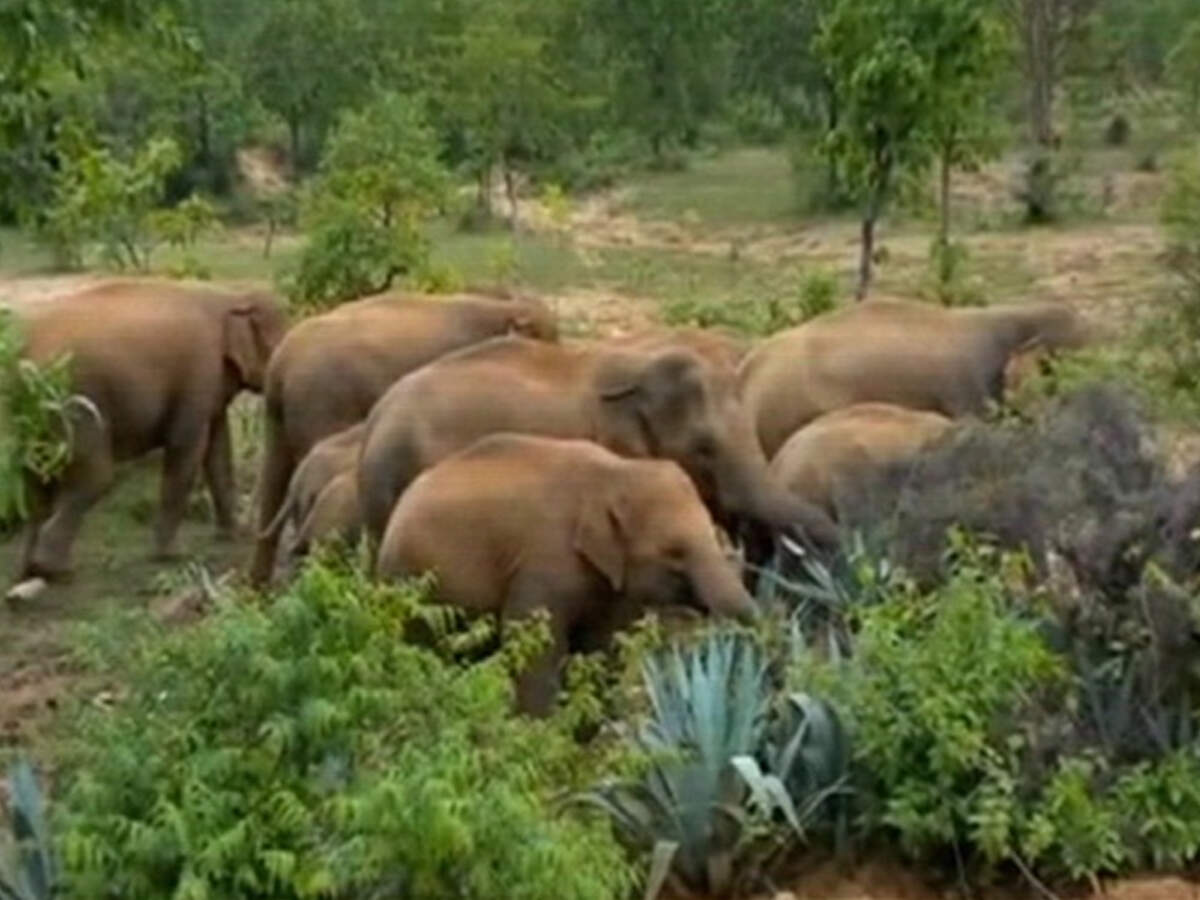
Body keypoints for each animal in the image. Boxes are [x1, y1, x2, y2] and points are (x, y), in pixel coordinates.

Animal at [11, 278, 287, 586]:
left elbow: (218, 452)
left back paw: (29, 571)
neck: (230, 297)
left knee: (35, 483)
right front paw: (174, 555)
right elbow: (186, 447)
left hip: (35, 417)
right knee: (95, 478)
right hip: (74, 406)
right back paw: (56, 571)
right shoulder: (198, 372)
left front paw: (233, 535)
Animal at [376, 433, 759, 715]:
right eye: (673, 553)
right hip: (409, 585)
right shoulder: (541, 560)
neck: (617, 471)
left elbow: (602, 646)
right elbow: (536, 644)